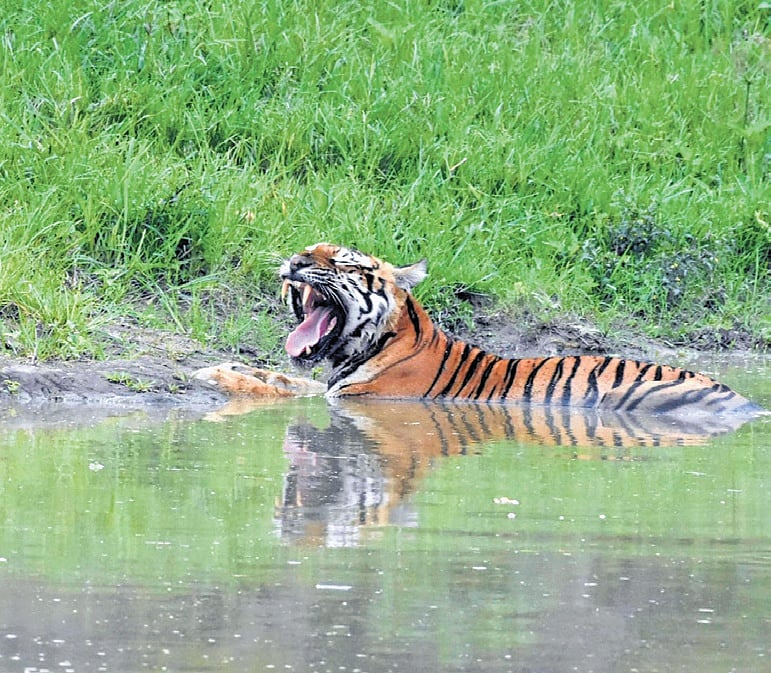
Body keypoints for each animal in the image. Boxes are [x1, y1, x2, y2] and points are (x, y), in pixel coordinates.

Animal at [194, 243, 763, 418]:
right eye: (310, 249)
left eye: (342, 262)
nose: (293, 262)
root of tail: (747, 402)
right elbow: (287, 379)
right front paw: (227, 365)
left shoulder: (363, 399)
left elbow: (286, 392)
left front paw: (214, 376)